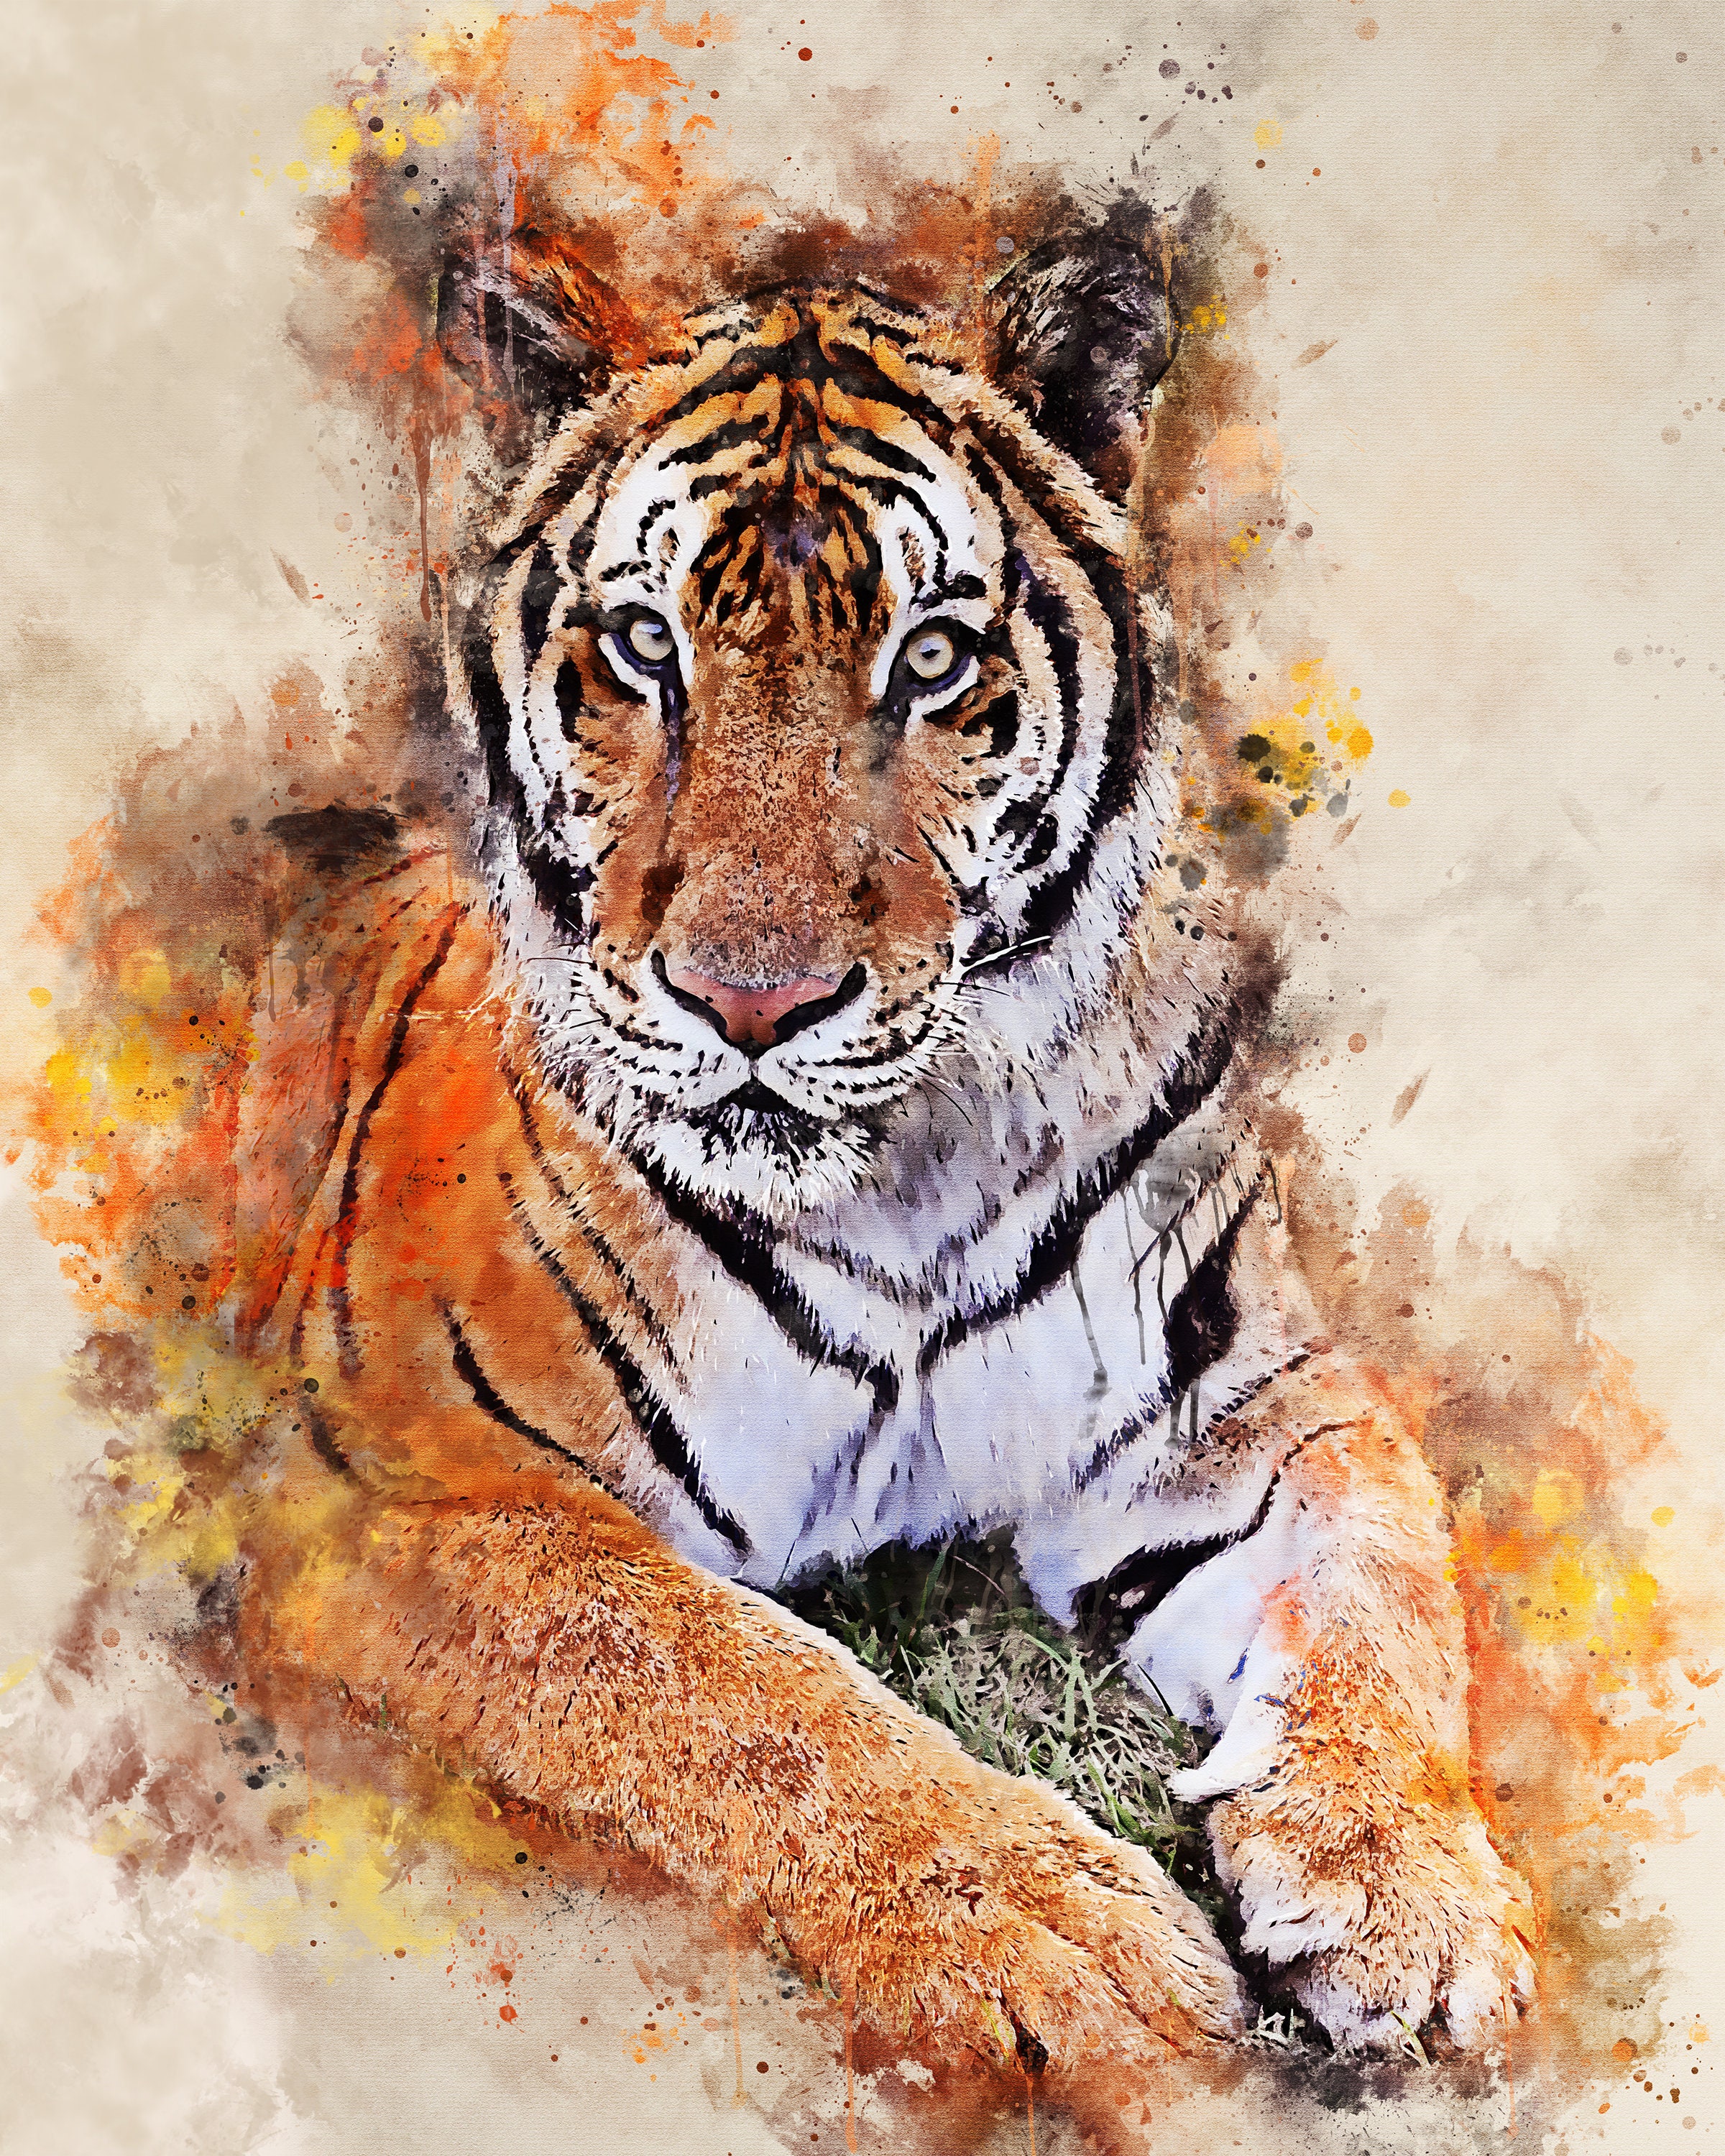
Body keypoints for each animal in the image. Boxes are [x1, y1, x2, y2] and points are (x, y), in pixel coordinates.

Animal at [101, 203, 1538, 2081]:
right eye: (645, 647)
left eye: (929, 659)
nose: (753, 999)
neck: (903, 1176)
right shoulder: (401, 1477)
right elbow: (722, 1683)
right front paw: (1056, 1930)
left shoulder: (1240, 1402)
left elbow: (1383, 1586)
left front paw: (1411, 1896)